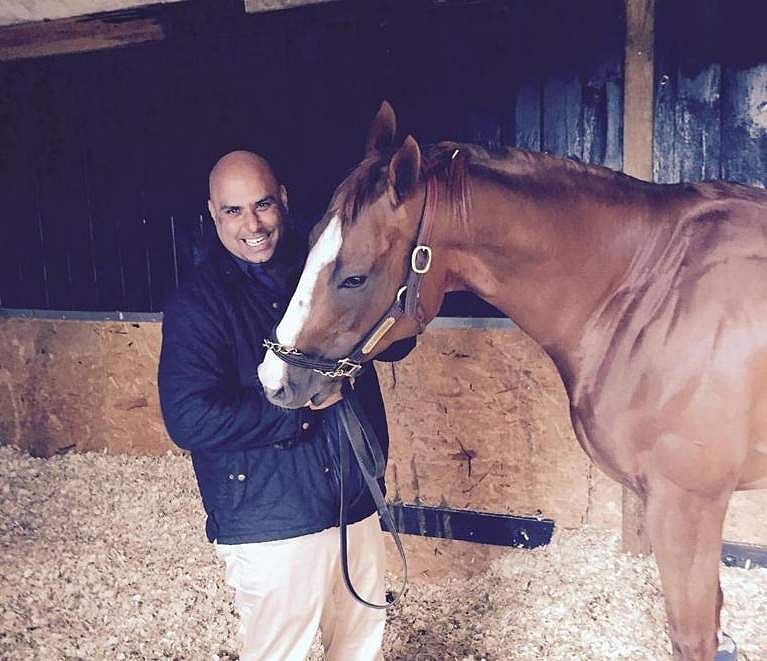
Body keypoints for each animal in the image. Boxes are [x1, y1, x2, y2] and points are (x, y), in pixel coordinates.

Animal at [257, 101, 767, 660]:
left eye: (355, 277)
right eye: (308, 245)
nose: (275, 379)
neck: (648, 287)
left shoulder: (687, 505)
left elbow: (694, 634)